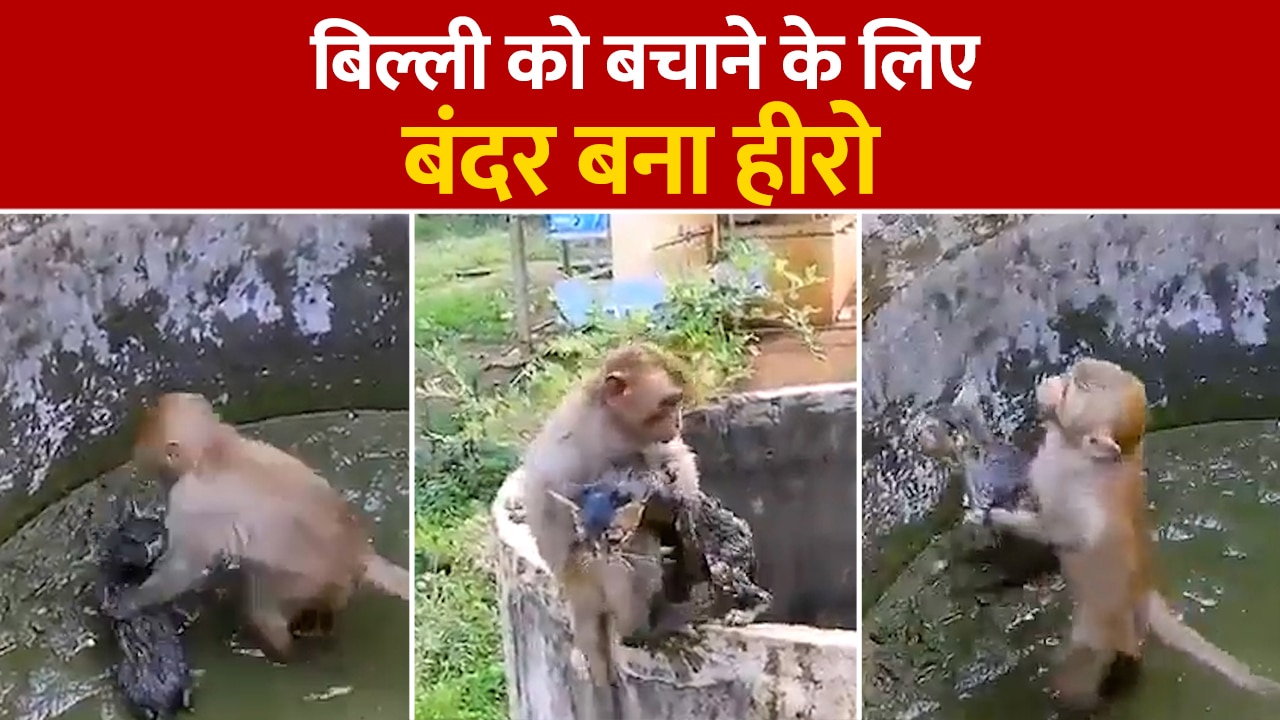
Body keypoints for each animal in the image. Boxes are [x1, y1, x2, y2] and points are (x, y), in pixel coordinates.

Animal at [104, 392, 411, 663]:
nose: (135, 453)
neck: (213, 450)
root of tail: (357, 551)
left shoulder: (188, 502)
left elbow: (183, 568)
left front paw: (129, 602)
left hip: (305, 580)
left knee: (264, 609)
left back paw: (284, 654)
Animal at [986, 358, 1280, 710]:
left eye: (1073, 388)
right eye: (1072, 376)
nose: (1055, 379)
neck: (1075, 450)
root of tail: (1143, 594)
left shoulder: (1080, 496)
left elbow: (1069, 532)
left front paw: (1004, 517)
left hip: (1103, 627)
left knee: (1084, 667)